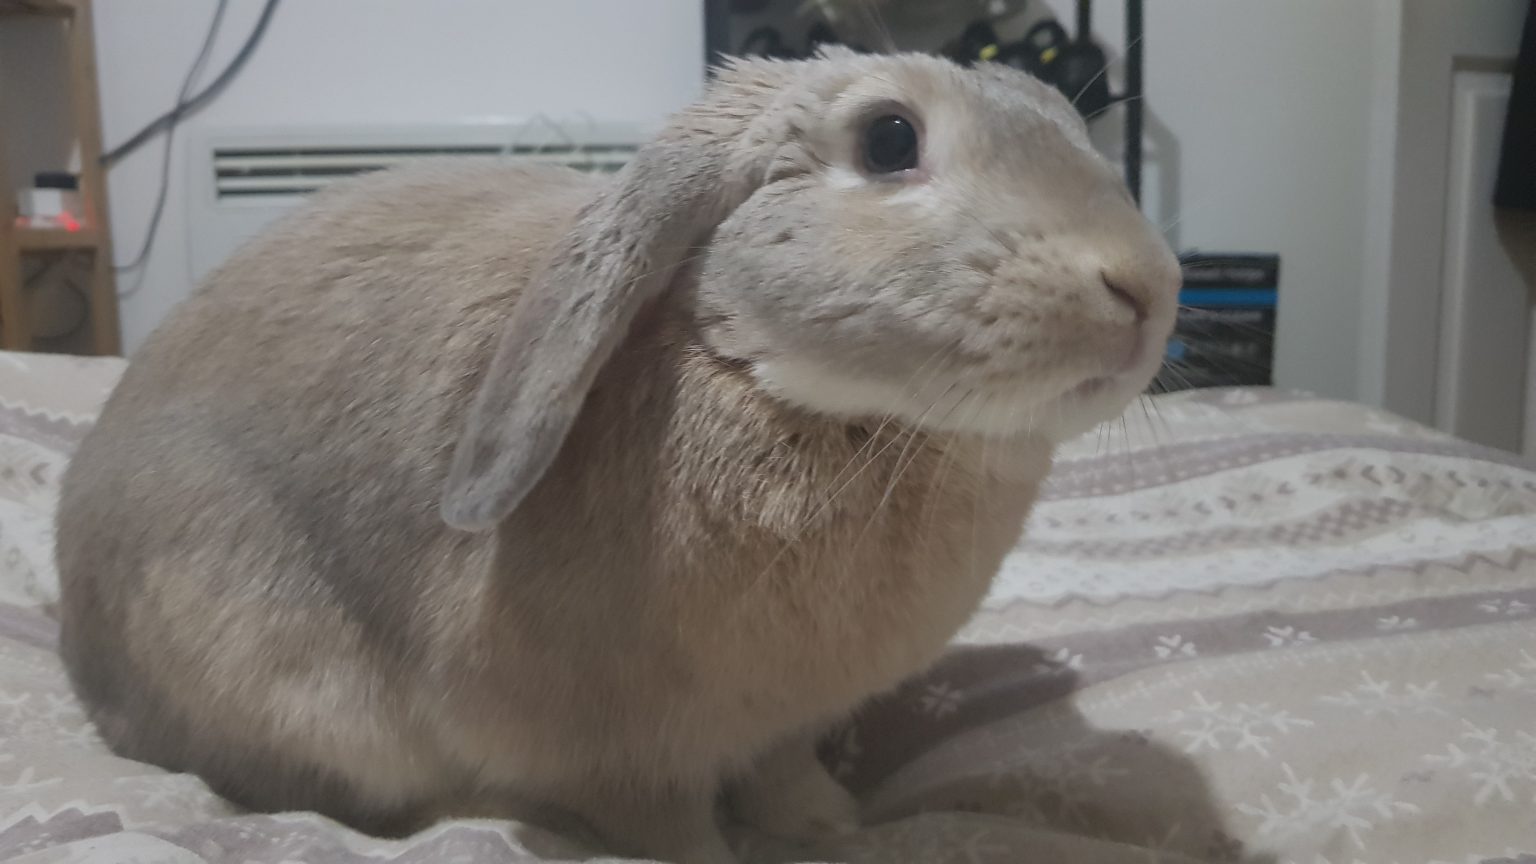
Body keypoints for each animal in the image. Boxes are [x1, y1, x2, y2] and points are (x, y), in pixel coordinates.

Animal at [55, 47, 1178, 864]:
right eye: (889, 139)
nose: (1147, 286)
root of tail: (91, 672)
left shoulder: (779, 729)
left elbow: (788, 779)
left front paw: (832, 829)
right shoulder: (628, 759)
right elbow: (667, 828)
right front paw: (724, 856)